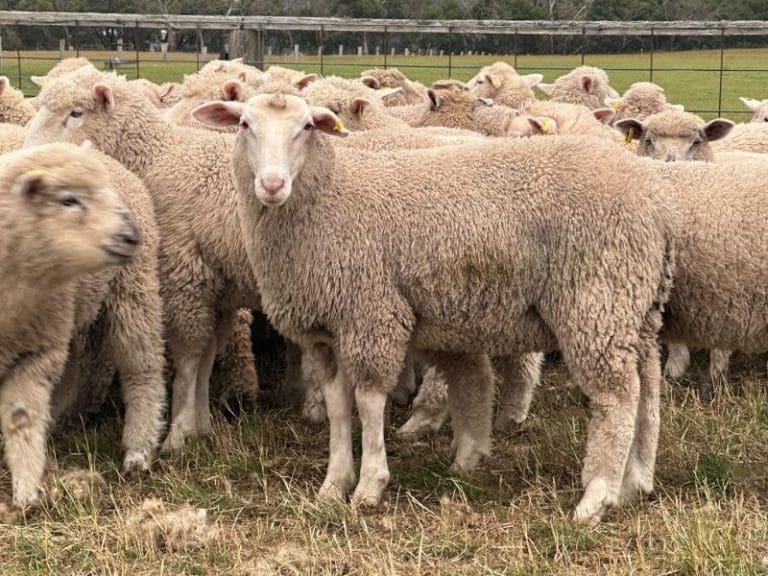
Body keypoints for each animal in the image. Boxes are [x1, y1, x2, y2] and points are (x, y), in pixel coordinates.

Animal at [0, 143, 152, 508]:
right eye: (68, 200)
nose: (130, 236)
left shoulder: (37, 352)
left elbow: (21, 417)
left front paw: (26, 492)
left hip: (133, 290)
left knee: (142, 367)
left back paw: (139, 449)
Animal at [25, 67, 263, 453]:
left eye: (76, 113)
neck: (155, 157)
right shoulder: (216, 288)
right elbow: (207, 357)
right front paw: (201, 426)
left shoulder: (184, 277)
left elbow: (188, 361)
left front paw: (178, 435)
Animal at [193, 93, 675, 524]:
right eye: (244, 125)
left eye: (307, 127)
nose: (272, 185)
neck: (330, 194)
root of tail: (654, 202)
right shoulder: (327, 332)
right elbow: (338, 406)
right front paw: (333, 485)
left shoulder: (372, 313)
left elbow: (368, 401)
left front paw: (369, 486)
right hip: (636, 307)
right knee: (647, 389)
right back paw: (636, 482)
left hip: (596, 298)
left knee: (618, 396)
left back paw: (597, 497)